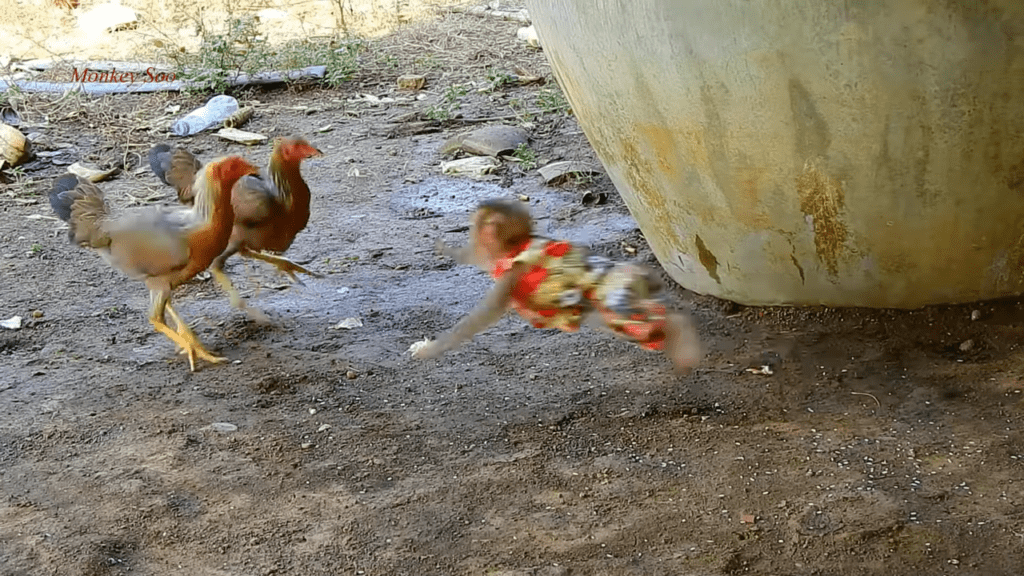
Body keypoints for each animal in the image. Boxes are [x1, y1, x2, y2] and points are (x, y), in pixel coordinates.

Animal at [412, 198, 702, 373]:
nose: (471, 230)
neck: (516, 248)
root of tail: (637, 275)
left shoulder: (510, 275)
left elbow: (480, 317)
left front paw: (430, 349)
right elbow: (472, 258)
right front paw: (448, 249)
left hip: (618, 296)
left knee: (648, 322)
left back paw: (682, 338)